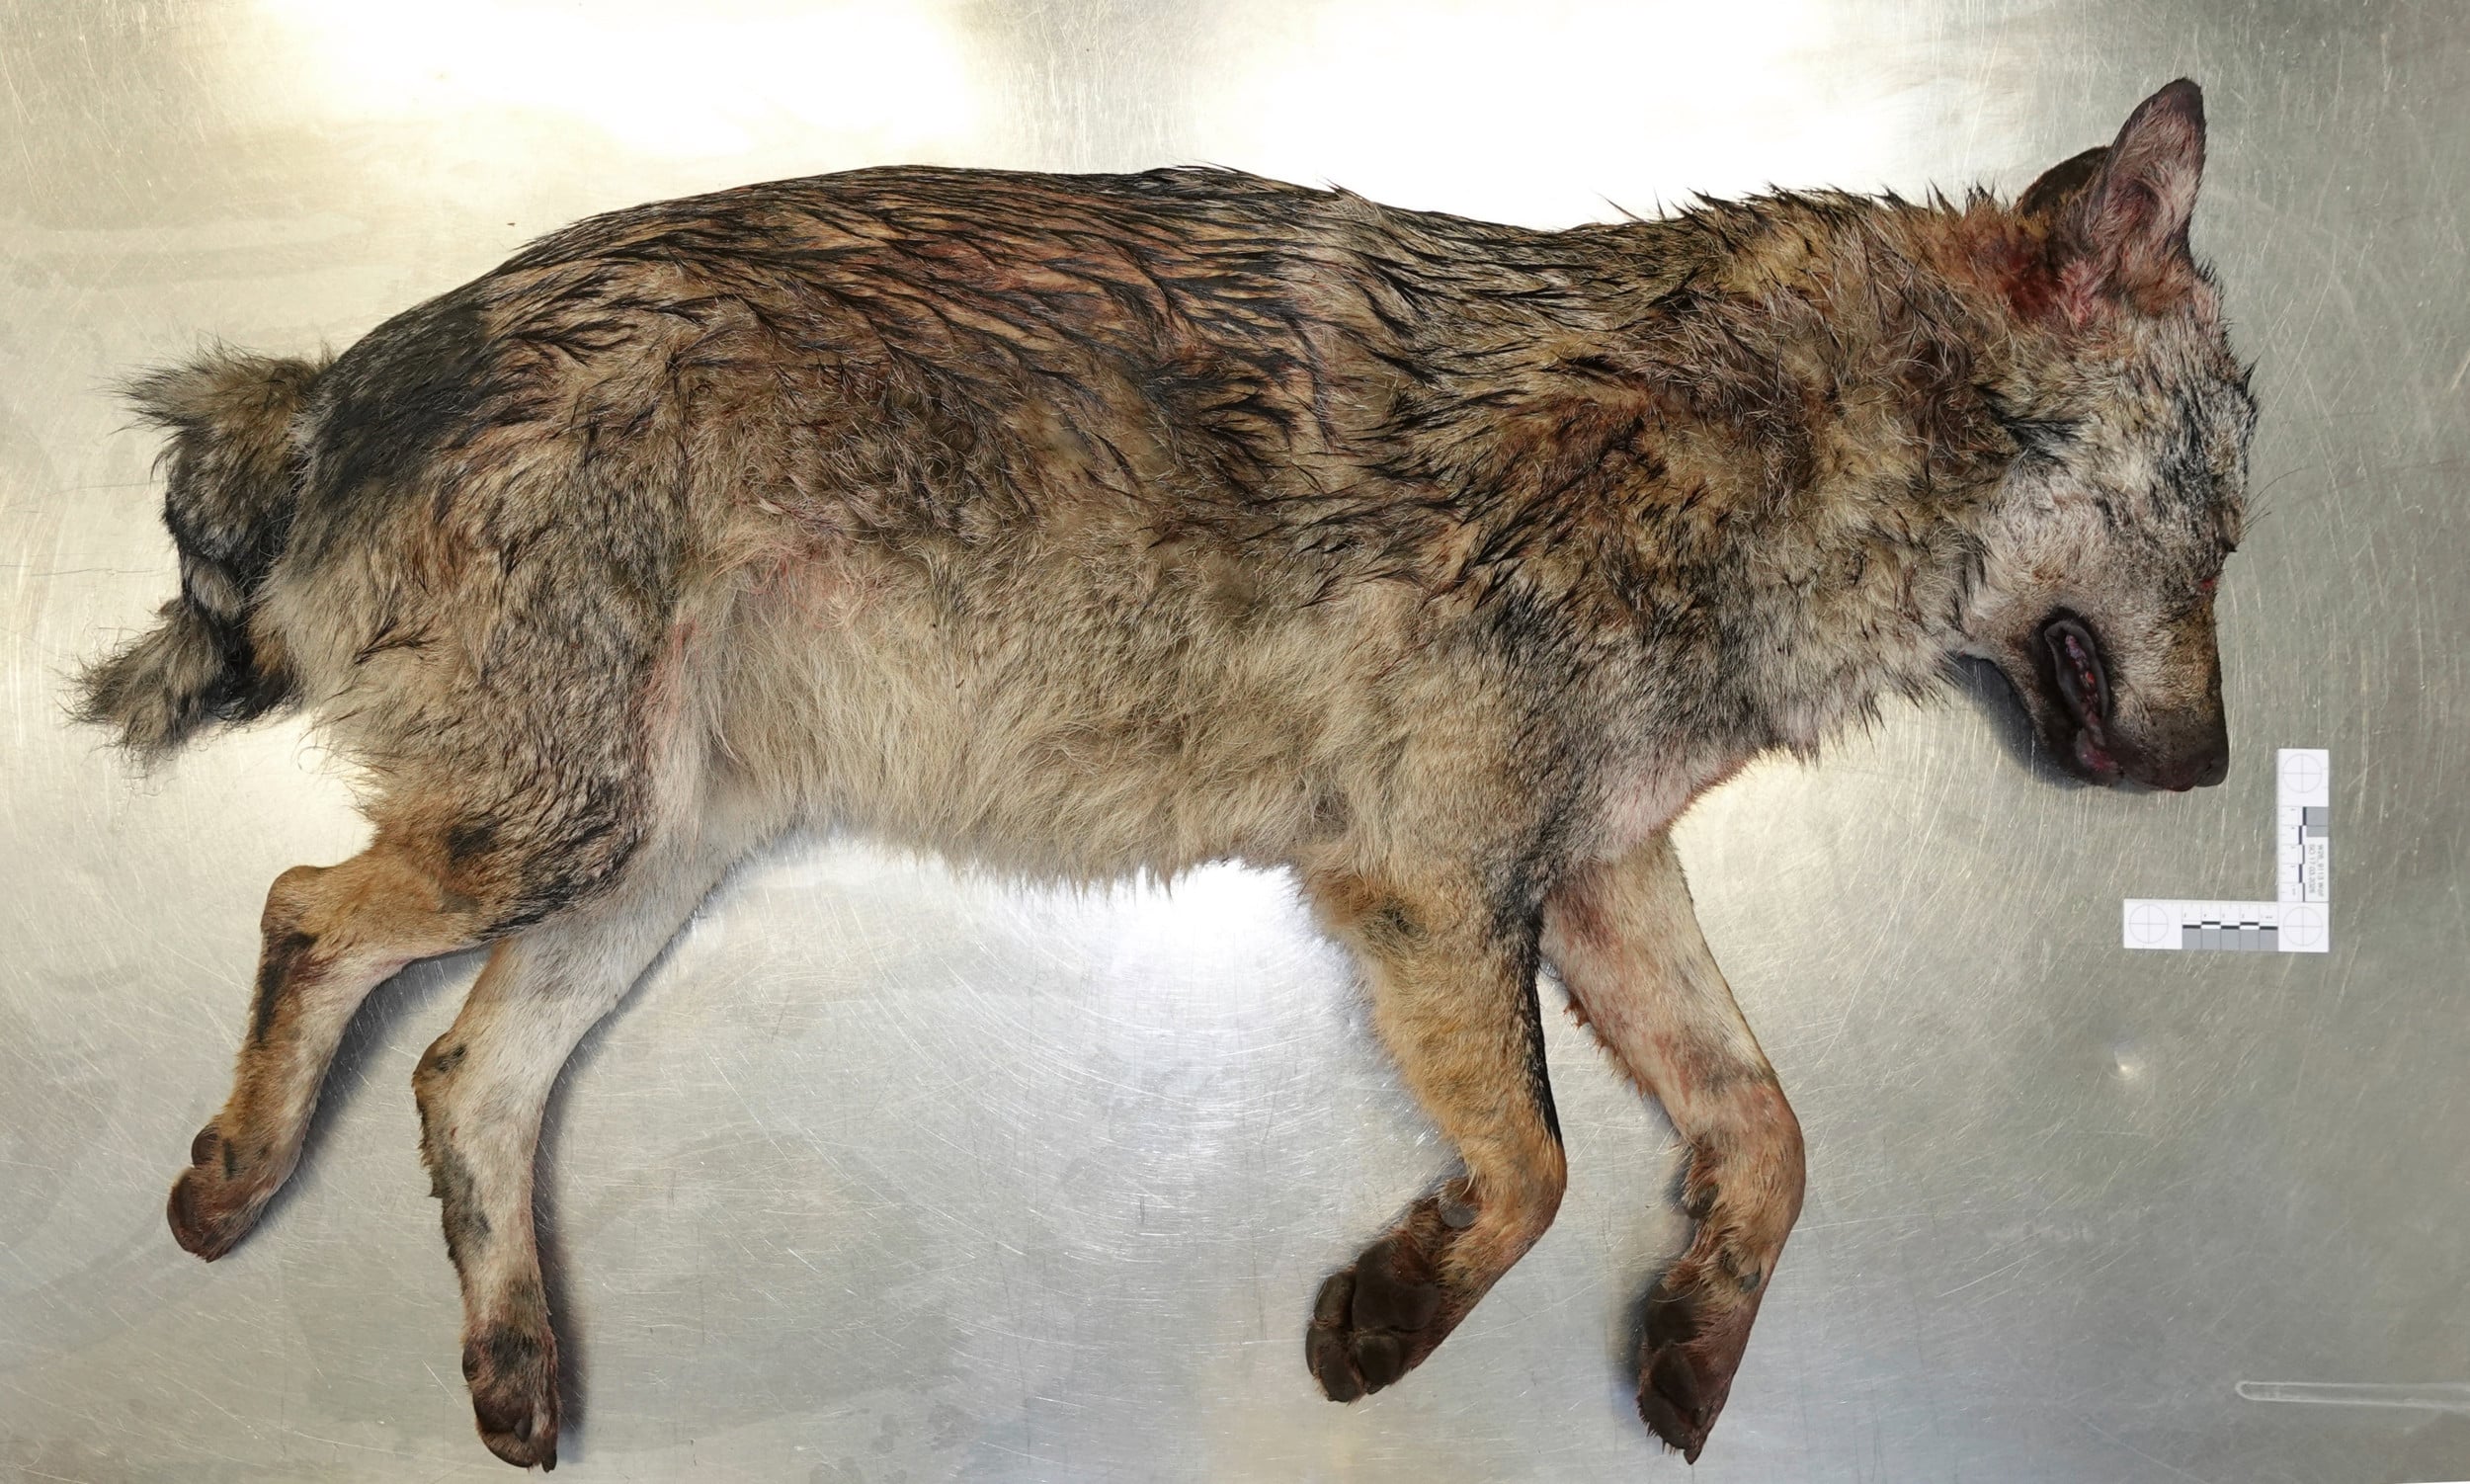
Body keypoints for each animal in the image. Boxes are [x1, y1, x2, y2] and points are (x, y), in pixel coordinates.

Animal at [76, 79, 2250, 1468]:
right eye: (2222, 522)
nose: (2215, 770)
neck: (1787, 445)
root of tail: (325, 386)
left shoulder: (1590, 880)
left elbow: (1770, 1131)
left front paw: (1691, 1350)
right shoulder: (1423, 887)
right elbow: (1540, 1165)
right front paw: (1379, 1323)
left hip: (629, 872)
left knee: (461, 1074)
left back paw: (516, 1374)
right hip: (557, 840)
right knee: (307, 917)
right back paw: (230, 1180)